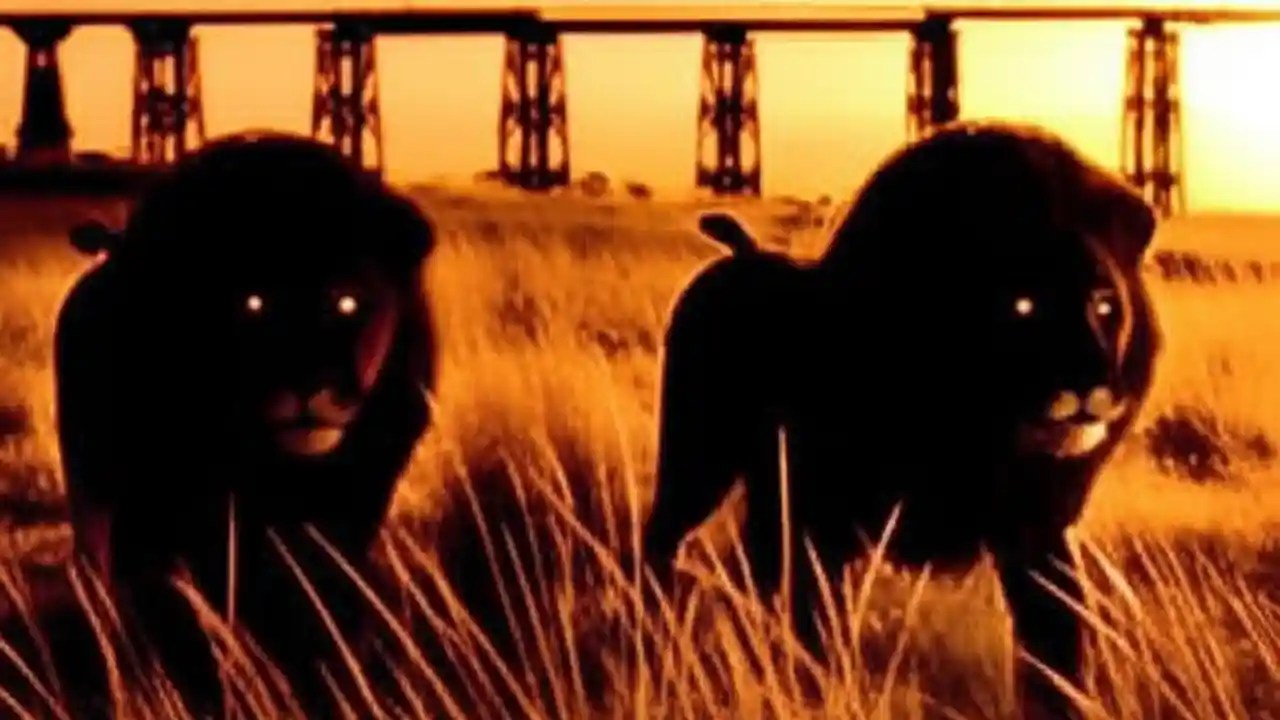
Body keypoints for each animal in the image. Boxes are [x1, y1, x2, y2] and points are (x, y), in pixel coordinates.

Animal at [53, 132, 437, 712]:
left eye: (347, 302)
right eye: (253, 302)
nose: (308, 388)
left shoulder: (347, 516)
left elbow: (323, 610)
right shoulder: (161, 523)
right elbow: (182, 620)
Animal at [641, 121, 1161, 718]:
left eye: (1105, 306)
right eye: (1023, 306)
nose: (1086, 385)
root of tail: (740, 256)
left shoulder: (1038, 534)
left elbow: (1057, 646)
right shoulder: (821, 522)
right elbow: (814, 625)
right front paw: (816, 691)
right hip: (695, 463)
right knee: (665, 538)